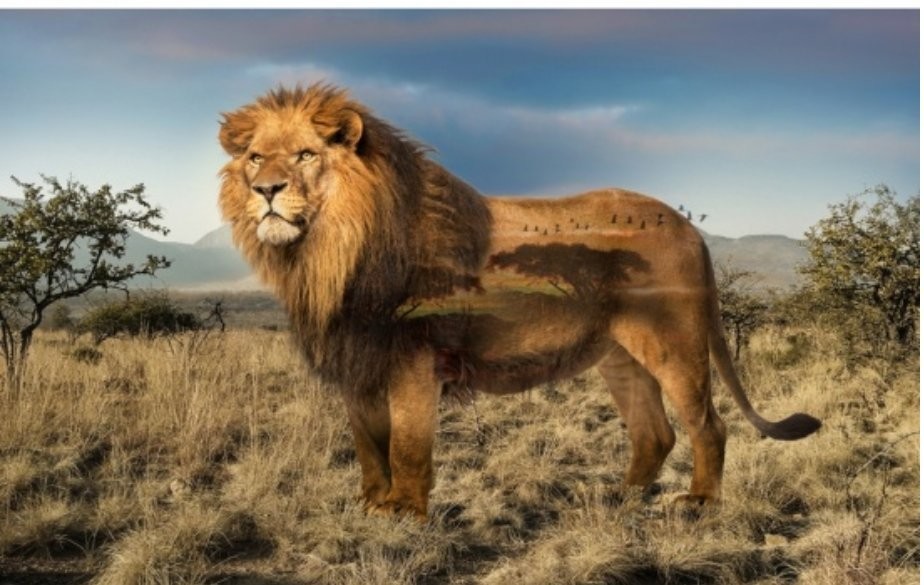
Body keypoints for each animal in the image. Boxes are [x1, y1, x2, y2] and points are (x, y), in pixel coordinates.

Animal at [218, 83, 821, 520]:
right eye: (254, 158)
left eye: (305, 155)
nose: (265, 190)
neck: (326, 254)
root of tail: (688, 227)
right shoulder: (356, 360)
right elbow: (369, 443)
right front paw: (370, 504)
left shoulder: (414, 358)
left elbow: (407, 443)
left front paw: (403, 512)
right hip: (620, 356)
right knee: (656, 433)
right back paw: (617, 497)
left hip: (675, 342)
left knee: (708, 425)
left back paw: (700, 503)